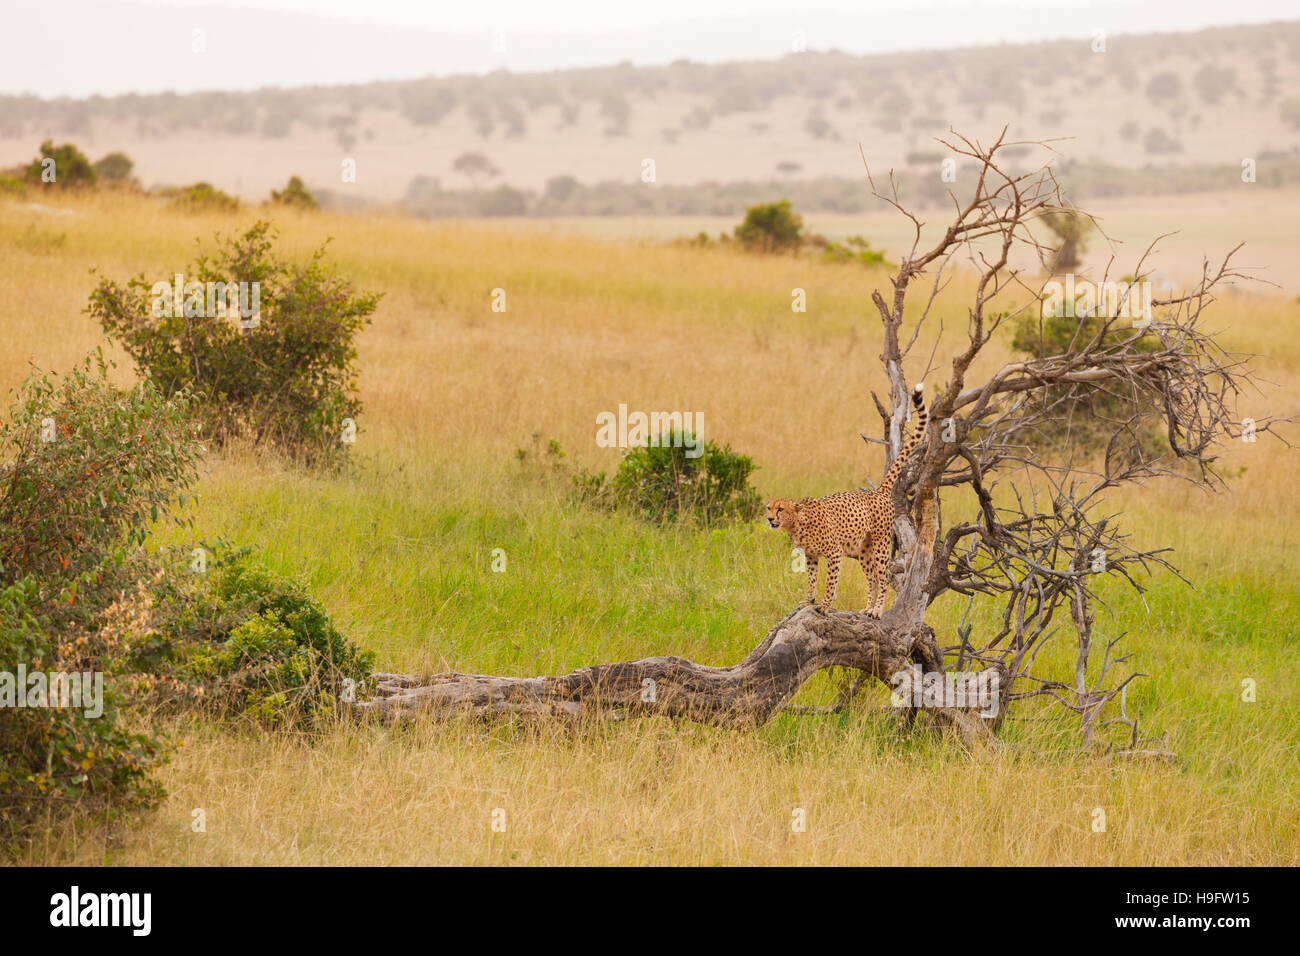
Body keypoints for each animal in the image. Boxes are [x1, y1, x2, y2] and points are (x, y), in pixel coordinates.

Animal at [766, 382, 928, 617]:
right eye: (768, 508)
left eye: (780, 509)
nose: (770, 519)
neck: (797, 524)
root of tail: (877, 492)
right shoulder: (811, 556)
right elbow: (812, 579)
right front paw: (809, 600)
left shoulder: (835, 553)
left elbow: (830, 582)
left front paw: (824, 605)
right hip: (863, 551)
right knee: (872, 578)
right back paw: (867, 607)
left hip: (880, 546)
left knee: (884, 577)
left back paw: (876, 610)